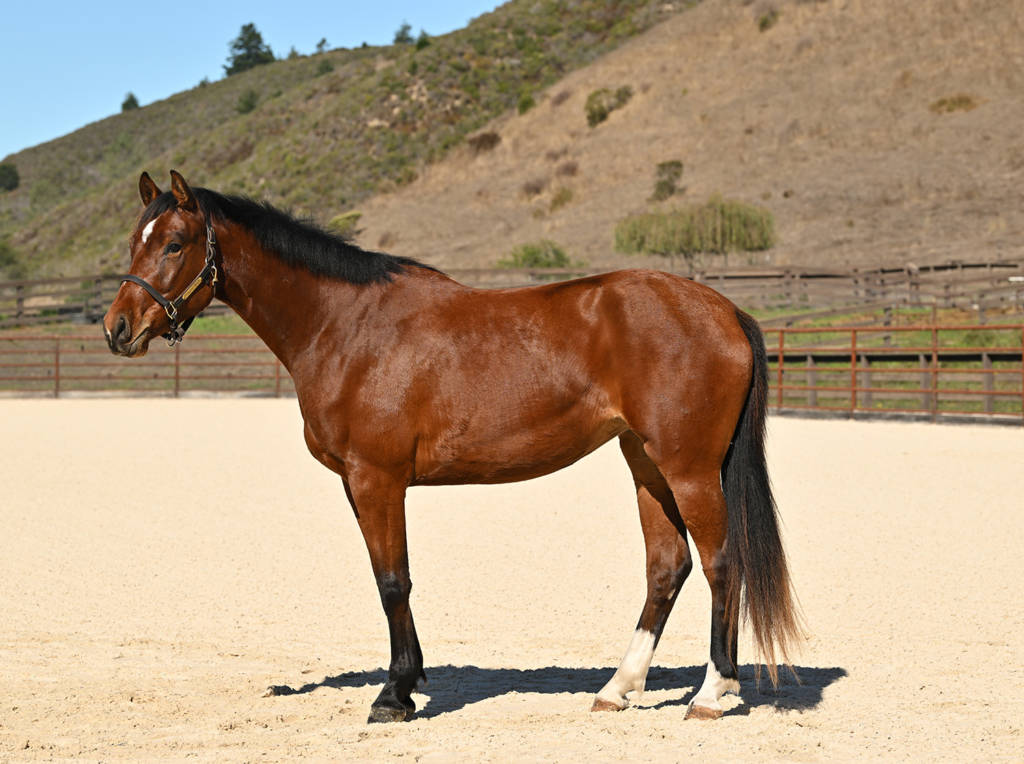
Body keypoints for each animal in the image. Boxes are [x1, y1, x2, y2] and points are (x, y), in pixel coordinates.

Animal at [103, 171, 800, 723]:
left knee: (720, 564)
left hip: (689, 468)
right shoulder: (358, 483)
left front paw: (393, 695)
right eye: (136, 240)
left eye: (174, 243)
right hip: (645, 463)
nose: (117, 329)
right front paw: (409, 681)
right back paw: (617, 688)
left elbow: (393, 581)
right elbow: (389, 578)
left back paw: (711, 694)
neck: (345, 326)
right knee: (667, 567)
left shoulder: (377, 478)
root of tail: (723, 309)